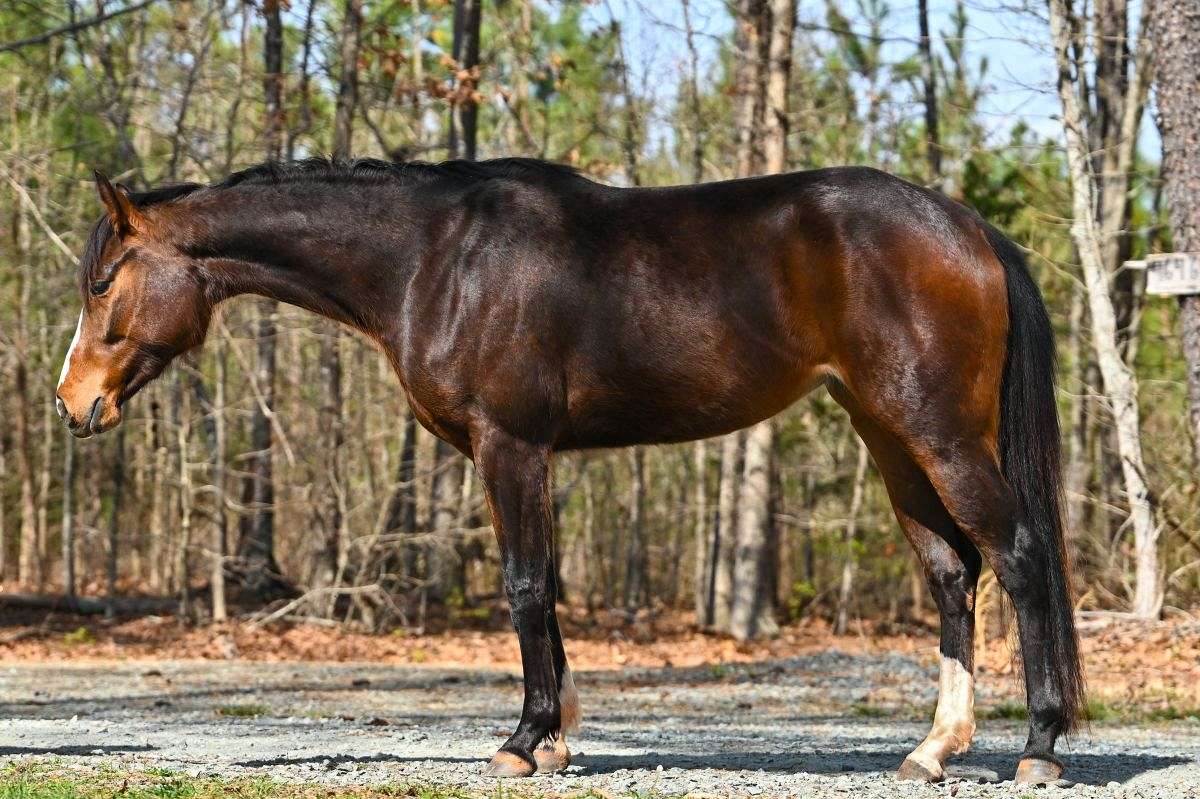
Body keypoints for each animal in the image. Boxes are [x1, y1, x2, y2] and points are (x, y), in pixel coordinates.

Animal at [55, 157, 1083, 783]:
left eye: (104, 284)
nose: (73, 405)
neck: (436, 259)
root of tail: (969, 228)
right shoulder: (527, 455)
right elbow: (544, 583)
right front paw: (554, 740)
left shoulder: (510, 444)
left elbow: (521, 584)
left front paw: (522, 739)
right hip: (887, 434)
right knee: (952, 573)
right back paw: (932, 748)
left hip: (939, 433)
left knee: (1020, 556)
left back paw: (1038, 745)